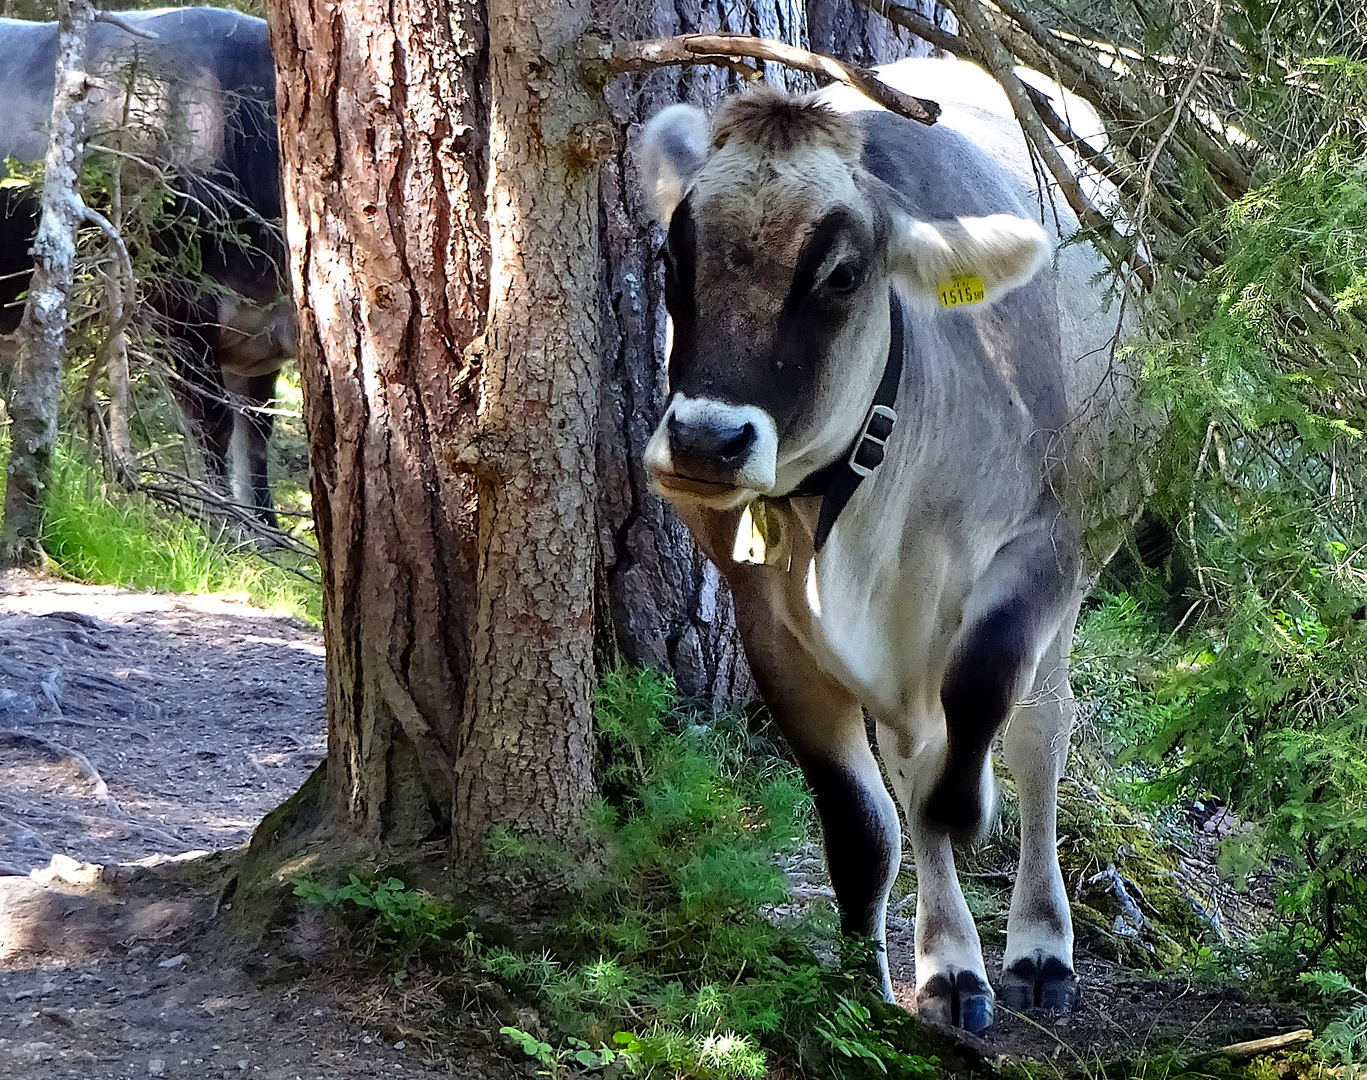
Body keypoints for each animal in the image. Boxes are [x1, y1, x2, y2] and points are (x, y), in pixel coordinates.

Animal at [1, 7, 291, 524]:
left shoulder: (257, 340)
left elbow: (255, 454)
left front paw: (263, 534)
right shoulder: (177, 303)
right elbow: (210, 428)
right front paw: (224, 531)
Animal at [634, 61, 1137, 1038]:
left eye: (840, 275)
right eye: (673, 260)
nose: (707, 442)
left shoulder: (1042, 549)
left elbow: (975, 719)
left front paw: (969, 816)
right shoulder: (765, 620)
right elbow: (863, 818)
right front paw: (861, 982)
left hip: (1087, 546)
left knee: (1037, 733)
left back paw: (1035, 945)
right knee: (914, 758)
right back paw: (949, 965)